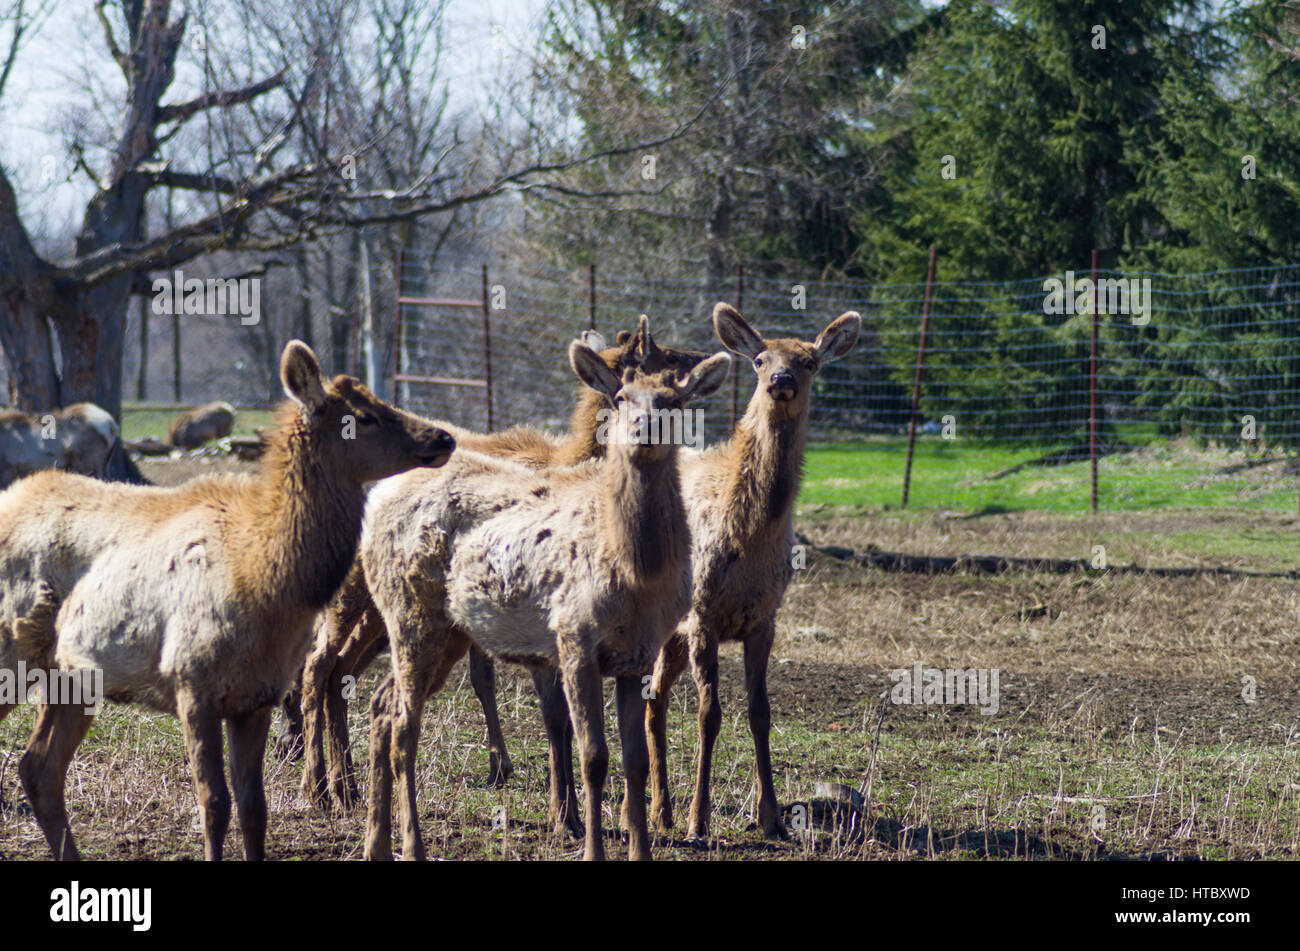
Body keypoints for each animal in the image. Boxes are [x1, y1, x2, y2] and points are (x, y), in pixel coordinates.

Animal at [0, 341, 454, 860]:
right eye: (365, 415)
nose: (443, 436)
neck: (268, 583)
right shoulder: (191, 683)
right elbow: (214, 804)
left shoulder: (255, 697)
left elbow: (254, 809)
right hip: (13, 651)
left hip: (72, 675)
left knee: (39, 768)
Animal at [295, 318, 705, 822]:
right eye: (667, 355)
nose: (701, 357)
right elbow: (545, 709)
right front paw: (555, 802)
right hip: (352, 592)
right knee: (317, 665)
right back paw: (316, 784)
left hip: (384, 609)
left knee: (341, 670)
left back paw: (346, 785)